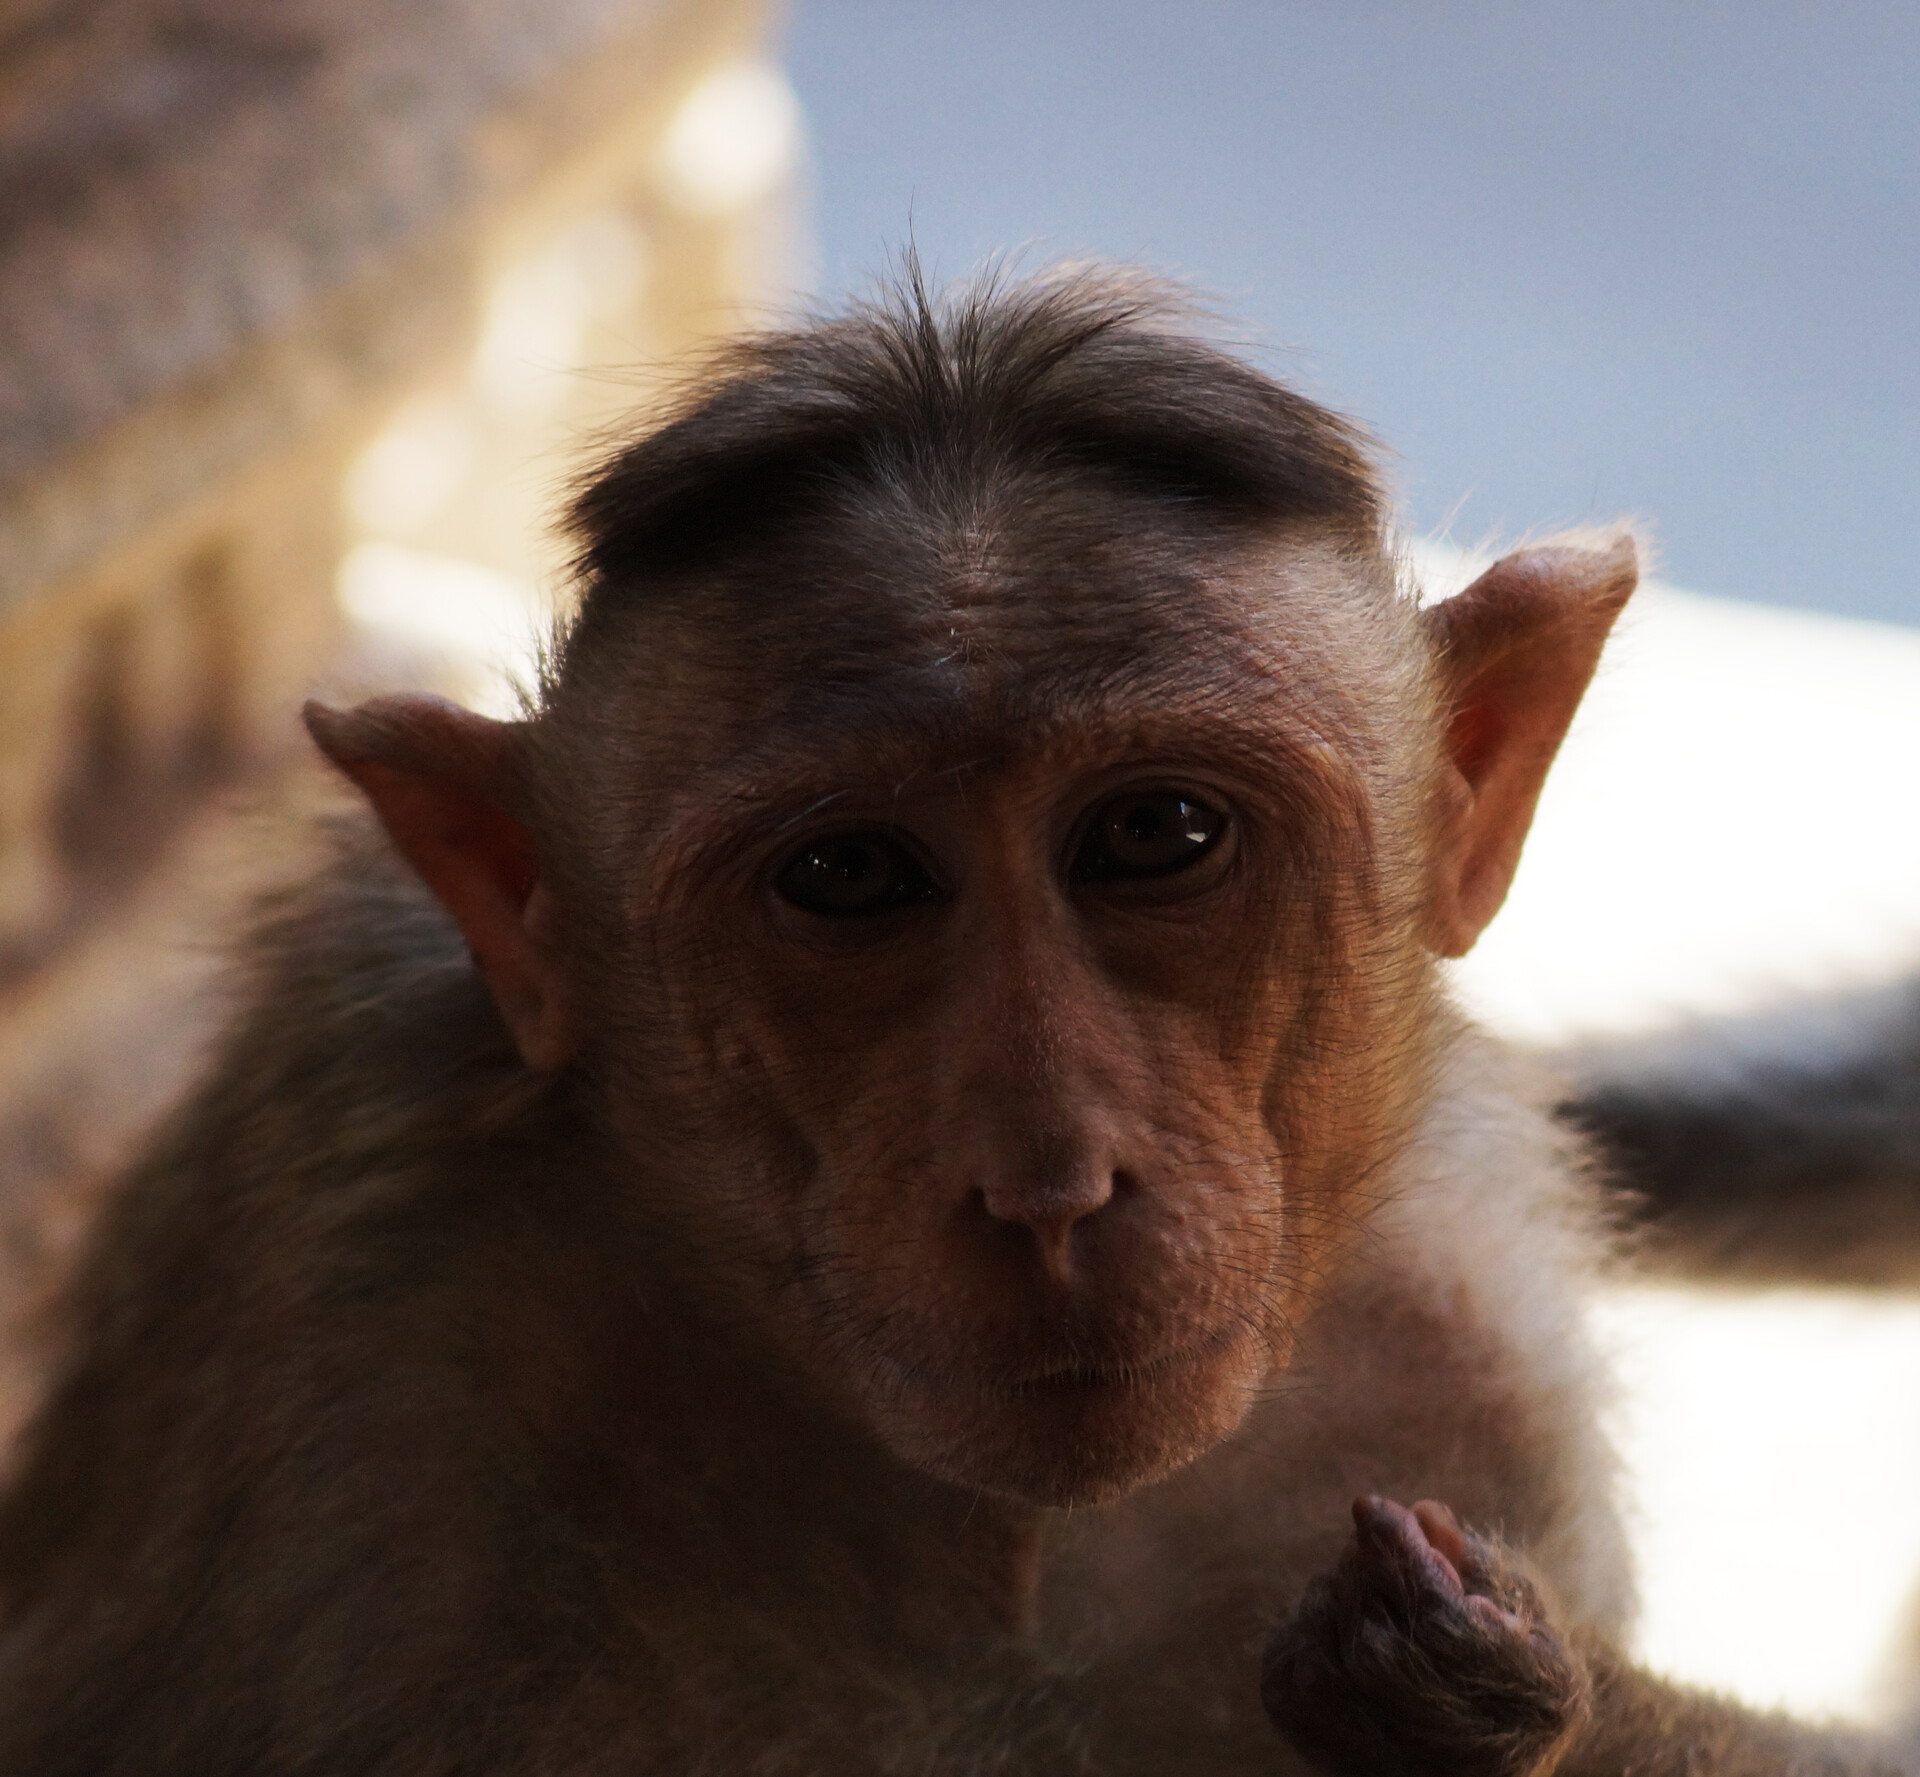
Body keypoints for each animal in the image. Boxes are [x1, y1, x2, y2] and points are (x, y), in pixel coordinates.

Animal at [0, 267, 1906, 1776]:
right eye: (849, 874)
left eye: (1158, 834)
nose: (1047, 1183)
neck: (1013, 1547)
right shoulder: (368, 1298)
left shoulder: (1470, 1366)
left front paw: (1489, 1702)